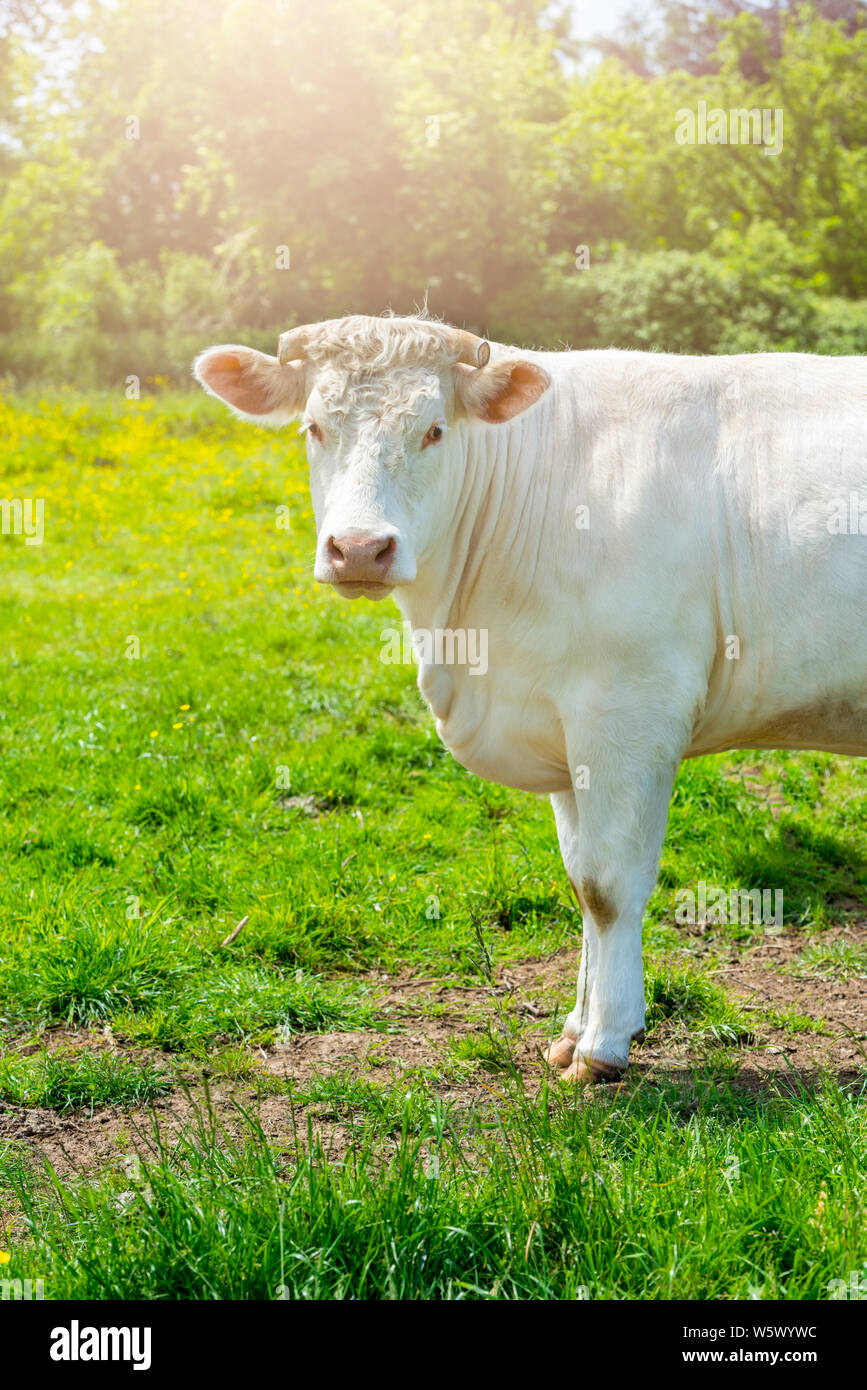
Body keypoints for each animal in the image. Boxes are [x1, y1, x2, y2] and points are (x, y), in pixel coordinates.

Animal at [194, 314, 867, 1082]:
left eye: (434, 430)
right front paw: (574, 1031)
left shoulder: (627, 713)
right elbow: (578, 880)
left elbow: (607, 885)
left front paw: (604, 1045)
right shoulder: (563, 725)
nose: (360, 549)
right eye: (312, 427)